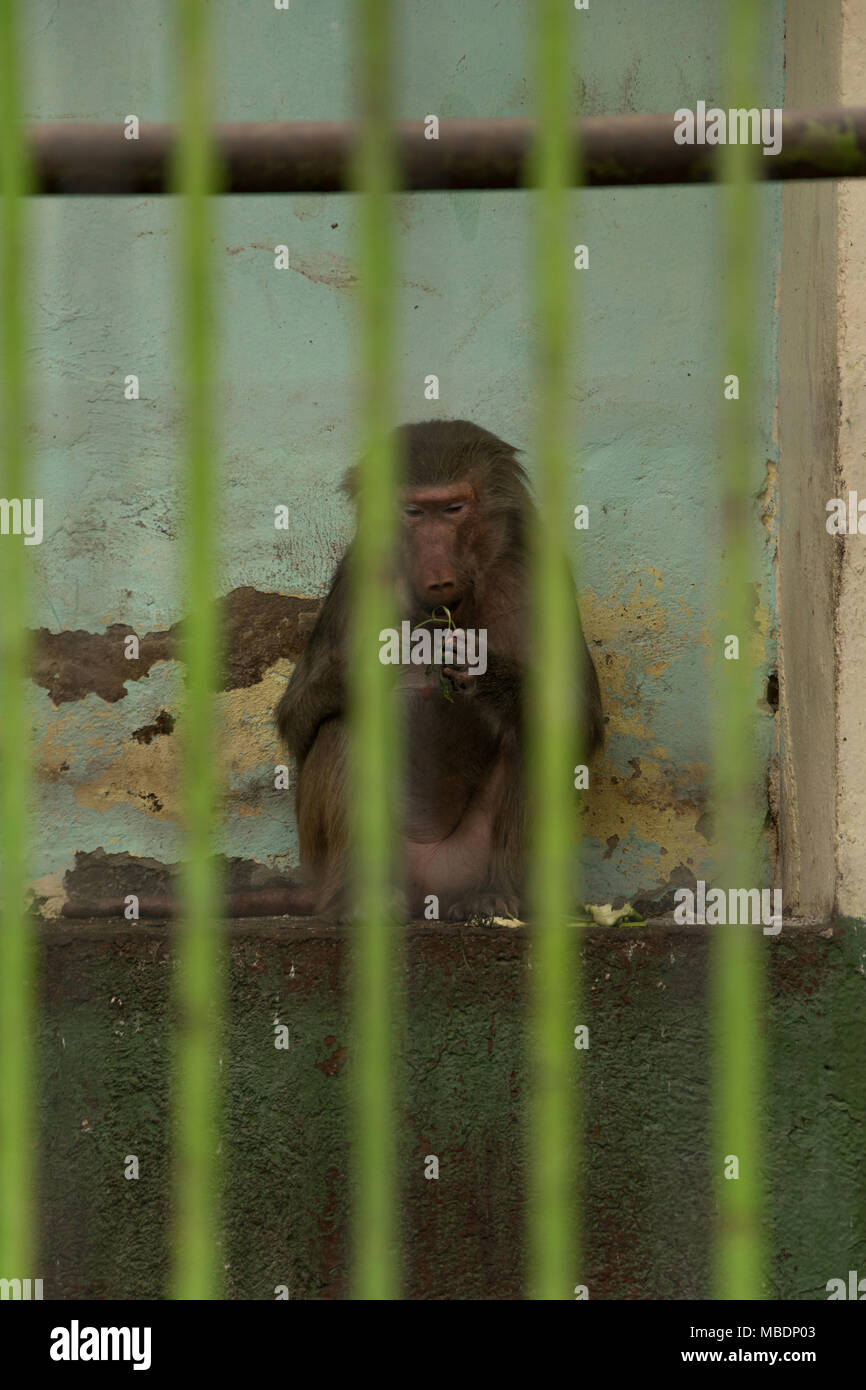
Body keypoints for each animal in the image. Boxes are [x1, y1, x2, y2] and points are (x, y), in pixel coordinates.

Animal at [275, 418, 603, 922]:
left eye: (452, 509)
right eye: (413, 512)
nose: (438, 573)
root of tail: (427, 892)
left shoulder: (531, 569)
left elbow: (579, 719)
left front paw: (482, 671)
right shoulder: (360, 575)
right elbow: (298, 718)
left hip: (464, 862)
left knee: (534, 735)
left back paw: (497, 895)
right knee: (344, 727)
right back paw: (359, 898)